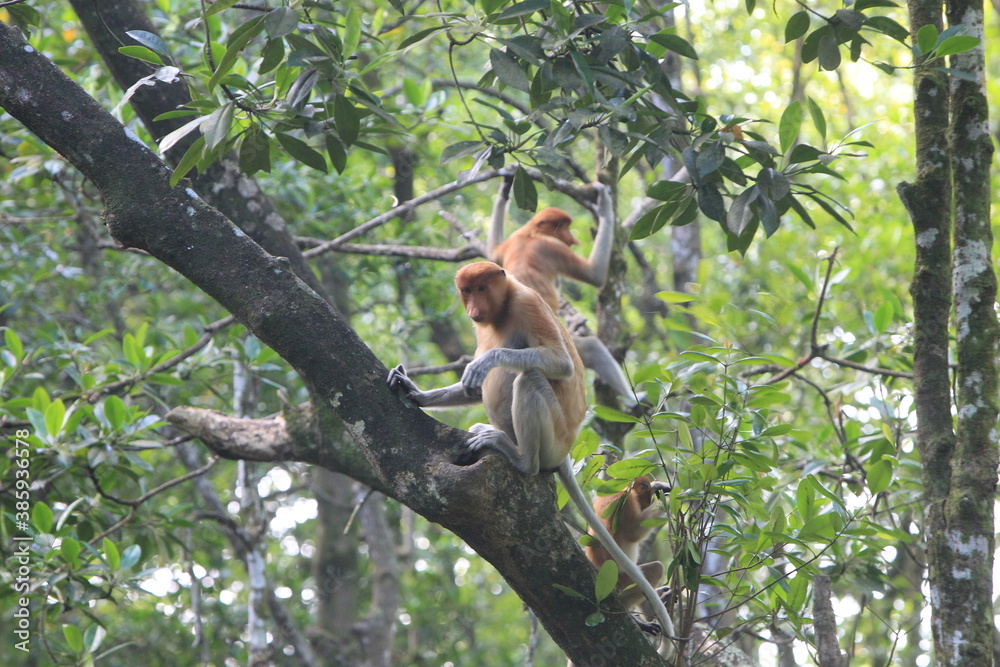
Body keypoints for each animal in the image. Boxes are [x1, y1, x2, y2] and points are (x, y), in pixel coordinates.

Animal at [387, 261, 675, 649]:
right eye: (466, 290)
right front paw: (414, 392)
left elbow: (559, 363)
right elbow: (471, 390)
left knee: (530, 378)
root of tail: (565, 451)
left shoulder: (527, 303)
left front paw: (487, 362)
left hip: (553, 437)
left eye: (481, 288)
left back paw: (520, 457)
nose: (473, 309)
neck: (501, 312)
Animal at [486, 180, 636, 400]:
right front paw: (604, 206)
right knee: (592, 348)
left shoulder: (512, 240)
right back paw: (635, 401)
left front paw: (505, 187)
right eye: (561, 226)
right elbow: (595, 275)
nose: (572, 239)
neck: (531, 234)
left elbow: (492, 252)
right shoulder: (554, 248)